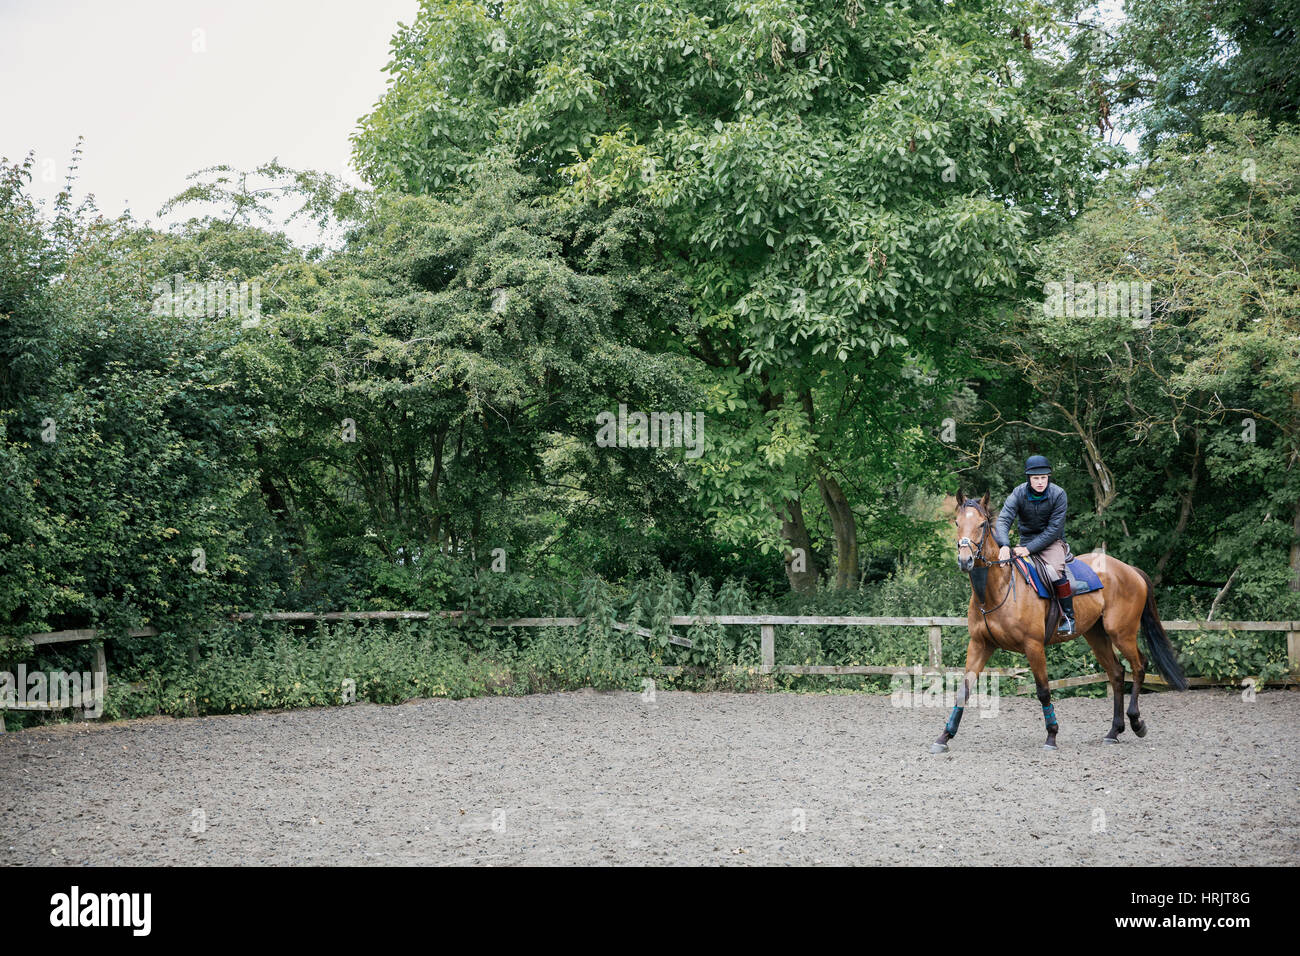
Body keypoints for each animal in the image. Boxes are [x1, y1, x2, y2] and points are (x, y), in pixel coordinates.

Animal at [932, 491, 1188, 753]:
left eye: (982, 524)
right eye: (957, 523)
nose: (965, 560)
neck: (999, 589)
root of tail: (1129, 570)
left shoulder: (1033, 646)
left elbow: (1044, 691)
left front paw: (1052, 735)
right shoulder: (980, 644)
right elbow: (963, 690)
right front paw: (944, 736)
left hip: (1121, 633)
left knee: (1138, 666)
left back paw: (1136, 722)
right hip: (1096, 635)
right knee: (1117, 674)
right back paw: (1114, 731)